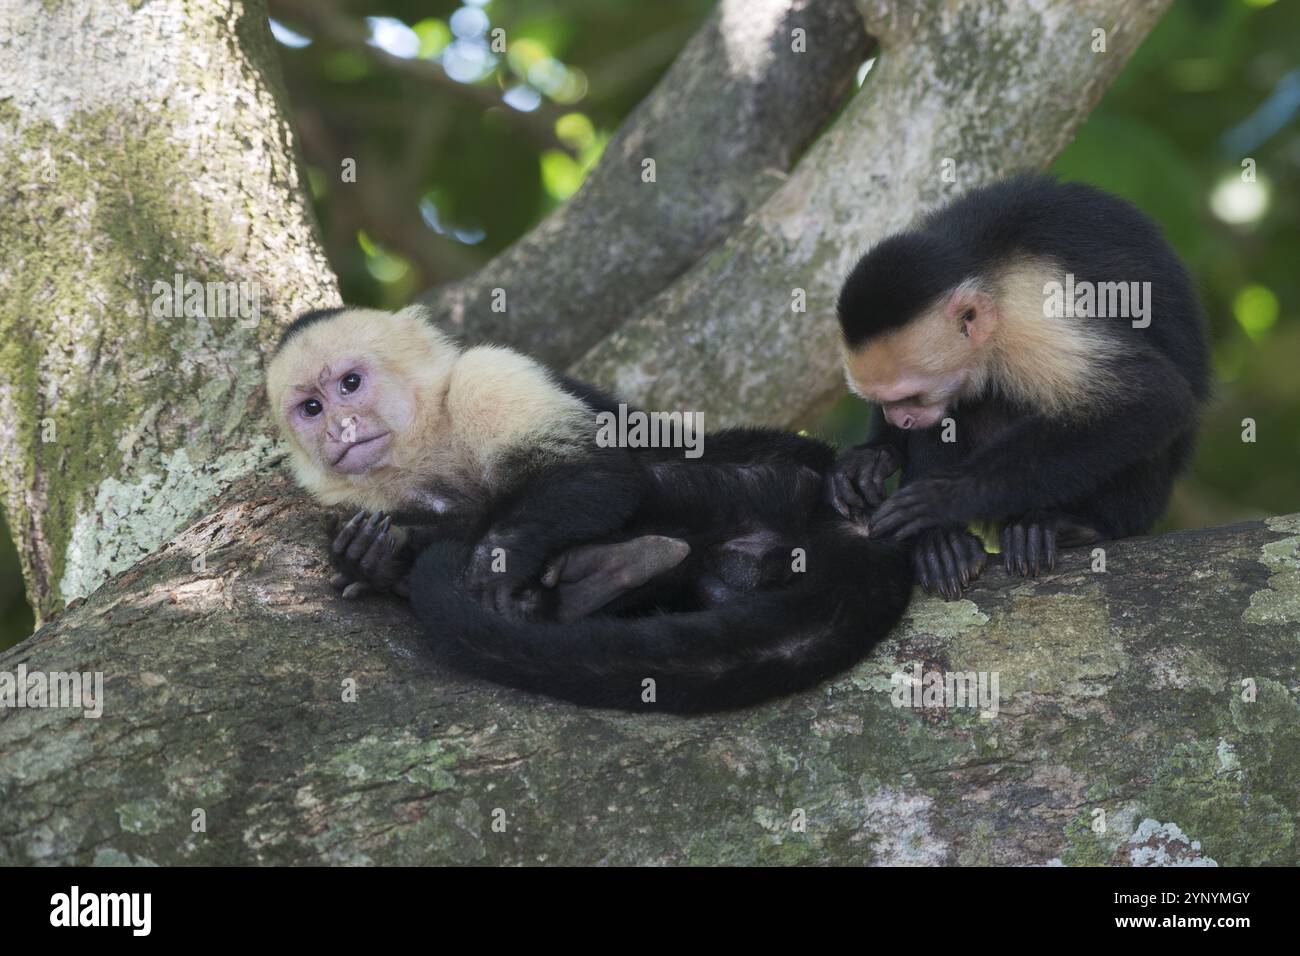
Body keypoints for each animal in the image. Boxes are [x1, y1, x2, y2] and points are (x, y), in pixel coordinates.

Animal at [265, 305, 913, 712]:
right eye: (310, 407)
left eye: (350, 383)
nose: (341, 427)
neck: (428, 447)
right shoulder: (353, 492)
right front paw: (373, 555)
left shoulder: (488, 378)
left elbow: (594, 472)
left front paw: (488, 561)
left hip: (776, 484)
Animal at [827, 173, 1209, 600]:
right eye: (882, 401)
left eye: (912, 396)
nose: (901, 420)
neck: (978, 262)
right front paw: (872, 457)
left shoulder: (1030, 312)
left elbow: (1152, 395)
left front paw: (945, 496)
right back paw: (941, 545)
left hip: (1141, 500)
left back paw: (1069, 525)